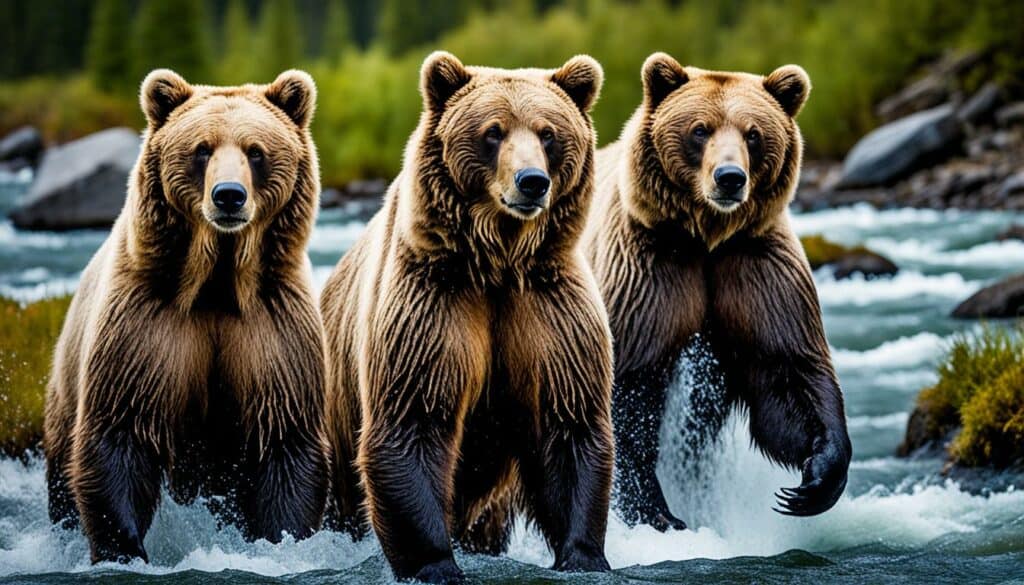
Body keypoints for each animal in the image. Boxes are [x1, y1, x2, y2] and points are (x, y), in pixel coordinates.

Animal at [43, 69, 329, 563]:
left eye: (256, 151)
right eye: (202, 148)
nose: (229, 196)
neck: (217, 282)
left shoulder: (272, 325)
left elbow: (284, 438)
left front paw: (282, 543)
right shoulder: (147, 322)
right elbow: (121, 432)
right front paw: (124, 549)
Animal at [321, 51, 614, 583]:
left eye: (548, 133)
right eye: (493, 131)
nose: (531, 181)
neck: (498, 261)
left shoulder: (548, 308)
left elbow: (569, 423)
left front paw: (584, 556)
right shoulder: (433, 302)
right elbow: (414, 421)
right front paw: (435, 563)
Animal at [582, 53, 852, 531]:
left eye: (753, 133)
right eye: (700, 129)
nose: (729, 177)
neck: (704, 238)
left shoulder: (754, 266)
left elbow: (787, 369)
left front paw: (816, 478)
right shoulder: (645, 270)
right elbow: (628, 385)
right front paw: (656, 510)